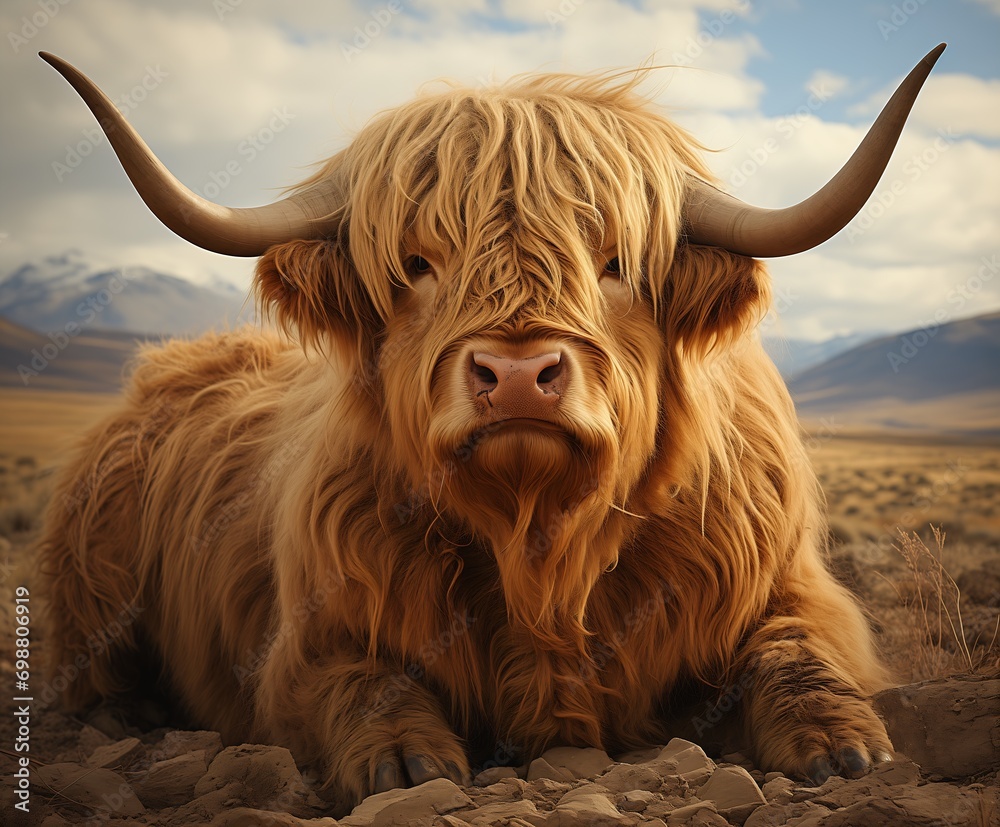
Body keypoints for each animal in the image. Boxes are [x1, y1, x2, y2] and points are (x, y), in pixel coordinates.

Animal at [38, 45, 945, 809]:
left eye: (614, 263)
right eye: (416, 265)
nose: (516, 375)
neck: (538, 542)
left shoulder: (780, 583)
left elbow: (800, 649)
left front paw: (843, 745)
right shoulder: (312, 633)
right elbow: (360, 681)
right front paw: (405, 761)